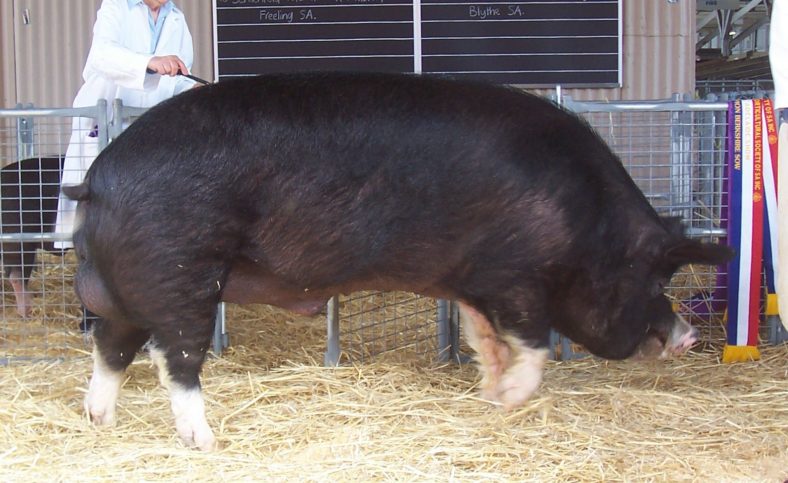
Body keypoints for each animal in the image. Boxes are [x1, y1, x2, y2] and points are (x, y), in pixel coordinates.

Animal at [63, 72, 733, 451]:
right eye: (655, 275)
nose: (689, 335)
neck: (587, 222)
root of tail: (100, 179)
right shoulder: (517, 277)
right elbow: (535, 342)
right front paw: (513, 399)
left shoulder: (474, 280)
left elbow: (483, 335)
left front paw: (489, 392)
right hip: (181, 272)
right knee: (173, 358)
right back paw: (205, 443)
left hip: (124, 291)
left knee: (111, 349)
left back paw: (100, 423)